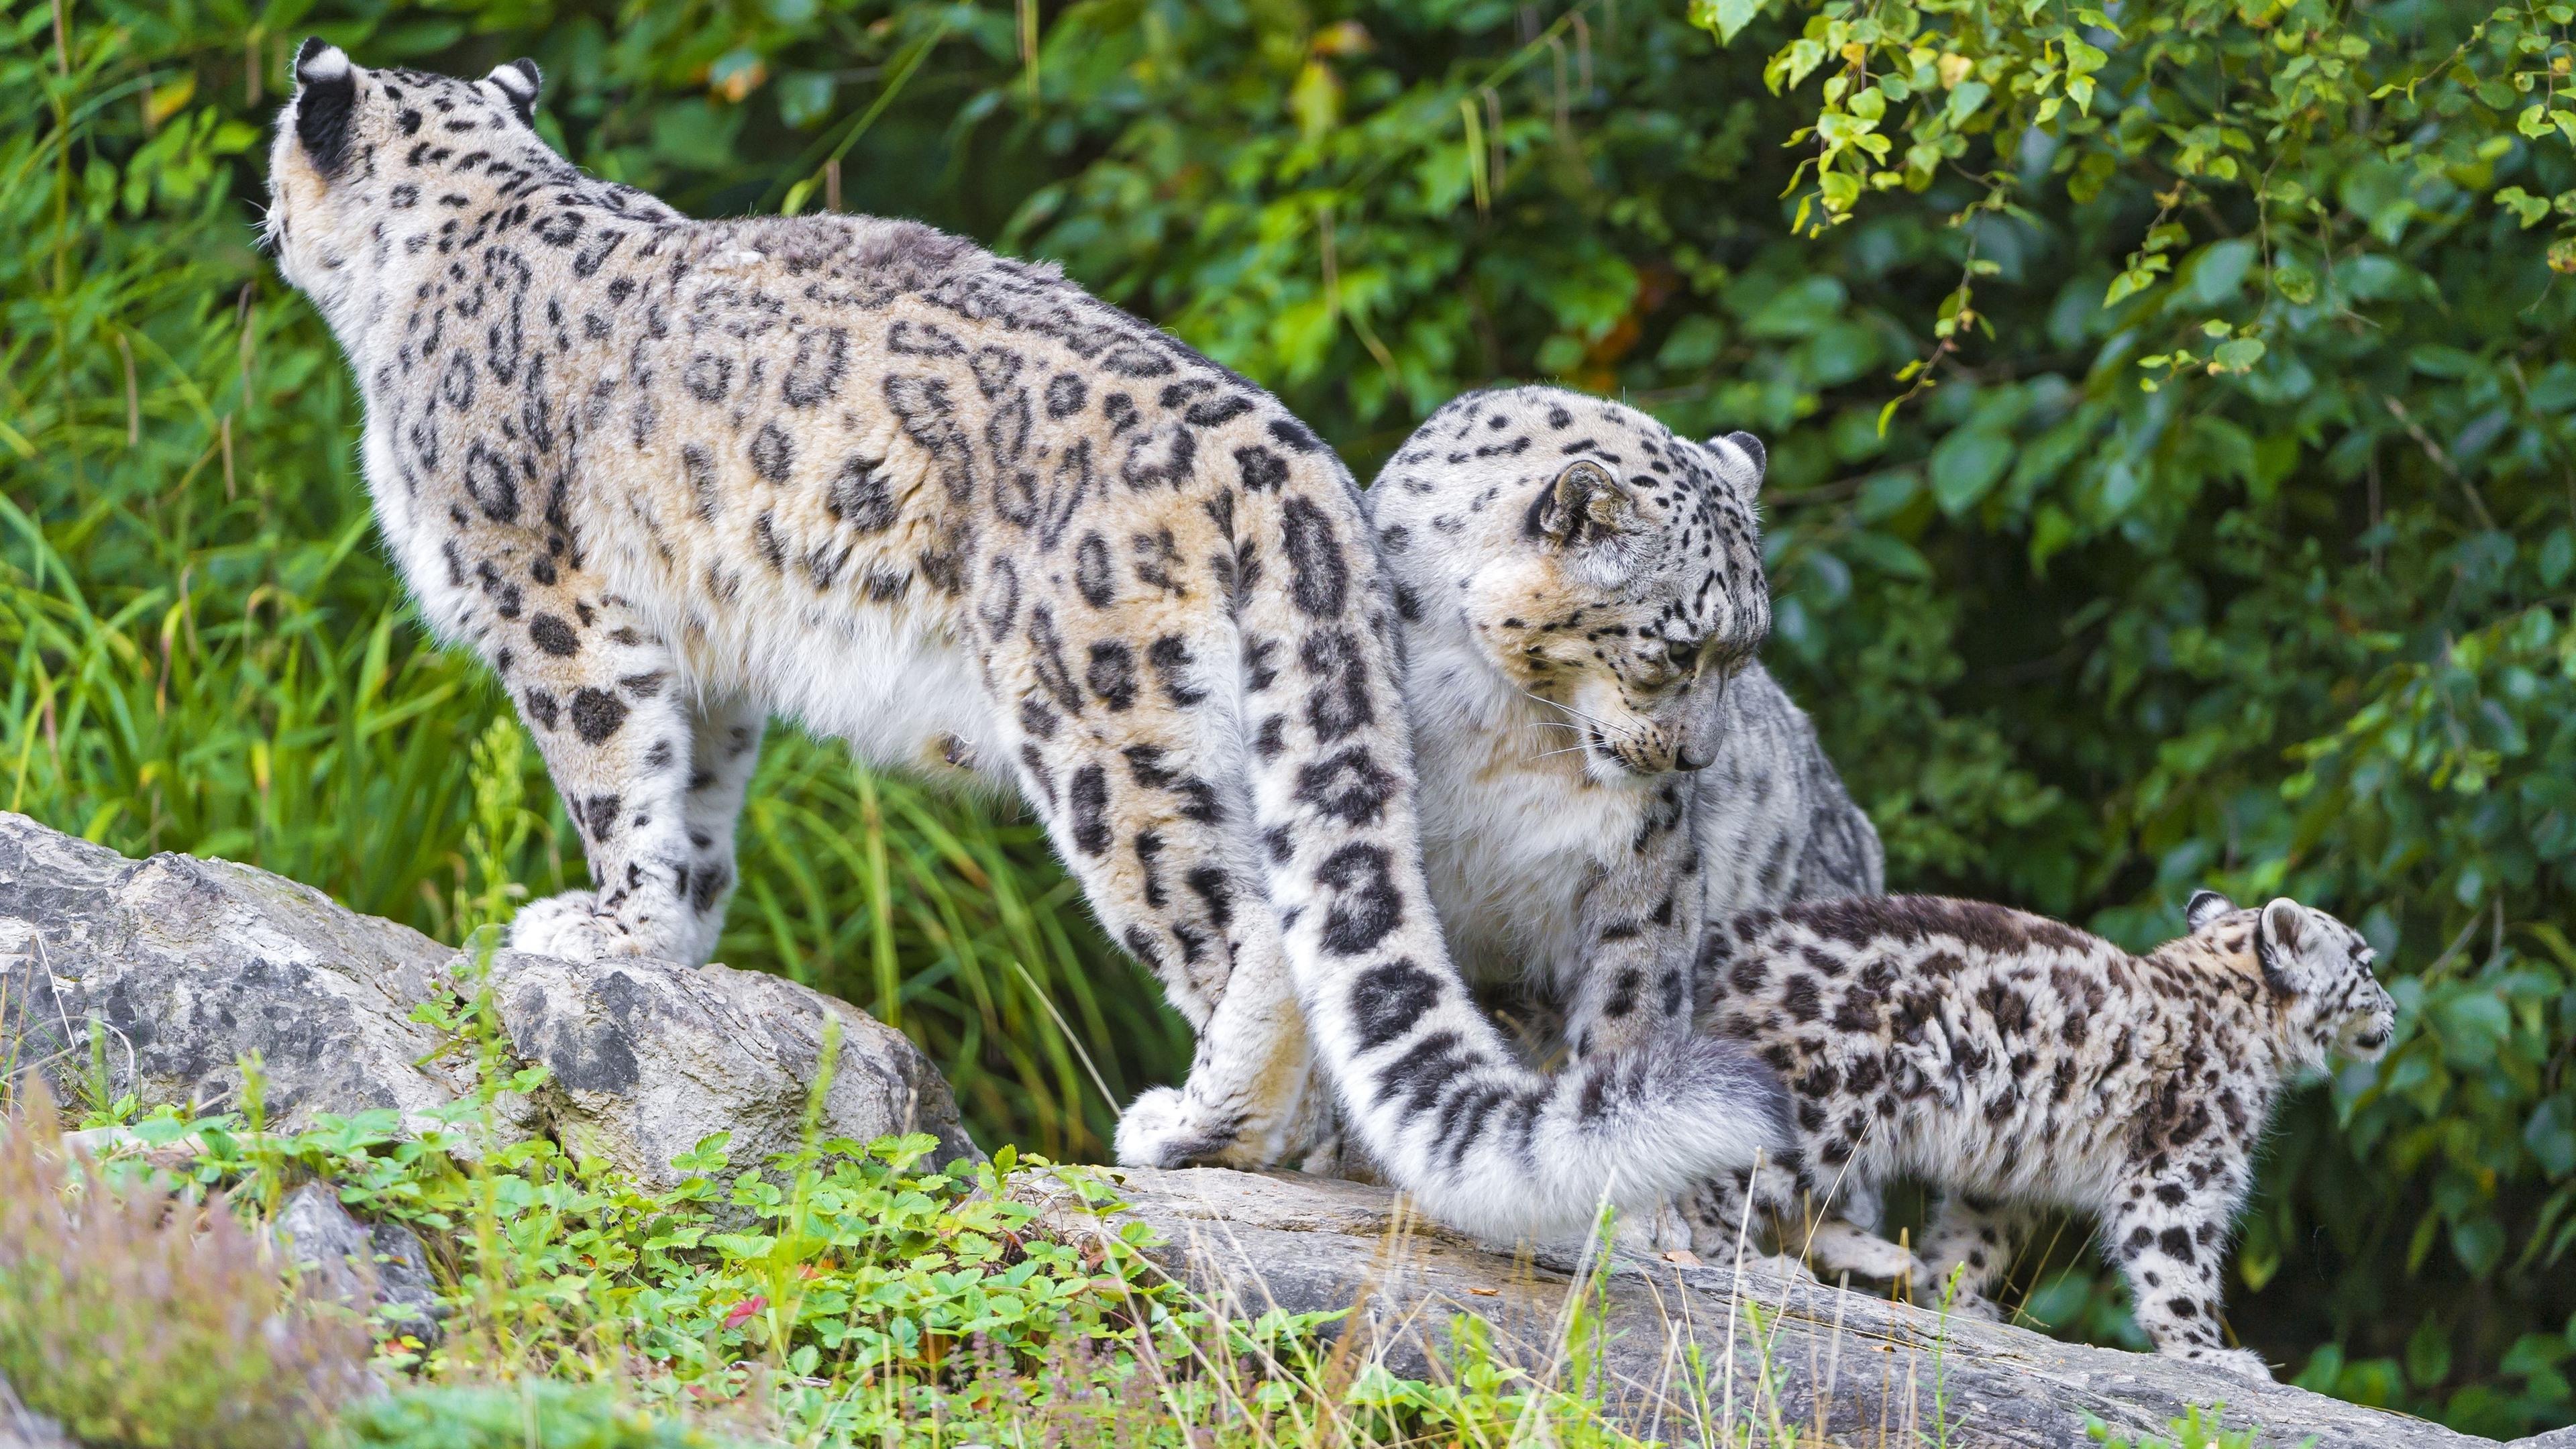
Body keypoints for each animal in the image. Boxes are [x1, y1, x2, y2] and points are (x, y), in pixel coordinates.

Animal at [260, 42, 1788, 1239]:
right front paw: (675, 939)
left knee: (1249, 928)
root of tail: (1289, 459)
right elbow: (694, 799)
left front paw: (600, 930)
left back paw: (1195, 1131)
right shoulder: (711, 653)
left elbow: (609, 768)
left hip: (1102, 725)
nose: (260, 219)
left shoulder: (550, 602)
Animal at [1680, 888, 2395, 1379]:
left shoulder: (2005, 1176)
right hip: (1819, 1107)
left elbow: (1972, 1238)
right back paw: (1742, 1262)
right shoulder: (2179, 1168)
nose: (2393, 1009)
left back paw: (1882, 1259)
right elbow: (2176, 1264)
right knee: (1713, 1184)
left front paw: (1954, 1301)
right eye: (2364, 964)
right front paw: (2210, 1356)